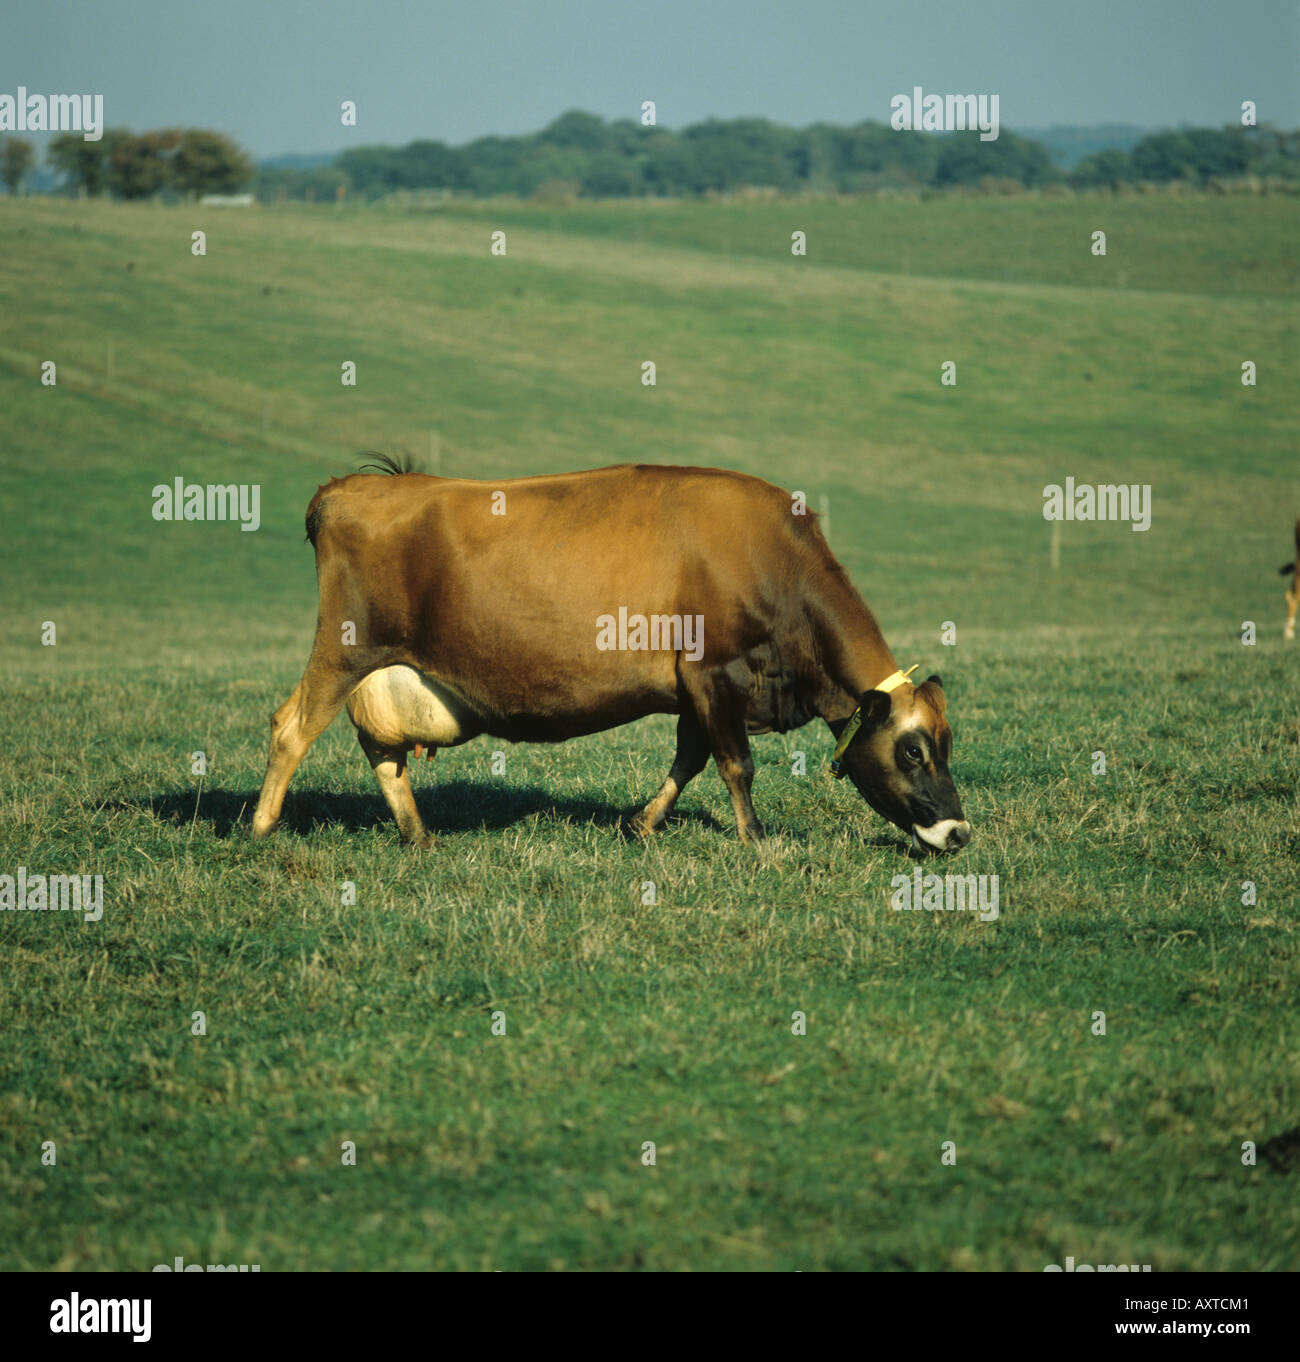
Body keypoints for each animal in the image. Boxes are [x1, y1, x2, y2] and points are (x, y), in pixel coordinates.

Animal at [251, 462, 971, 854]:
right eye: (912, 750)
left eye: (946, 743)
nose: (960, 832)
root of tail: (350, 489)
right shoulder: (715, 671)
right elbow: (736, 763)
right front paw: (756, 838)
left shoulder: (693, 687)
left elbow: (690, 758)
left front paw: (642, 824)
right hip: (345, 647)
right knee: (291, 727)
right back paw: (260, 828)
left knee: (383, 750)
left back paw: (417, 834)